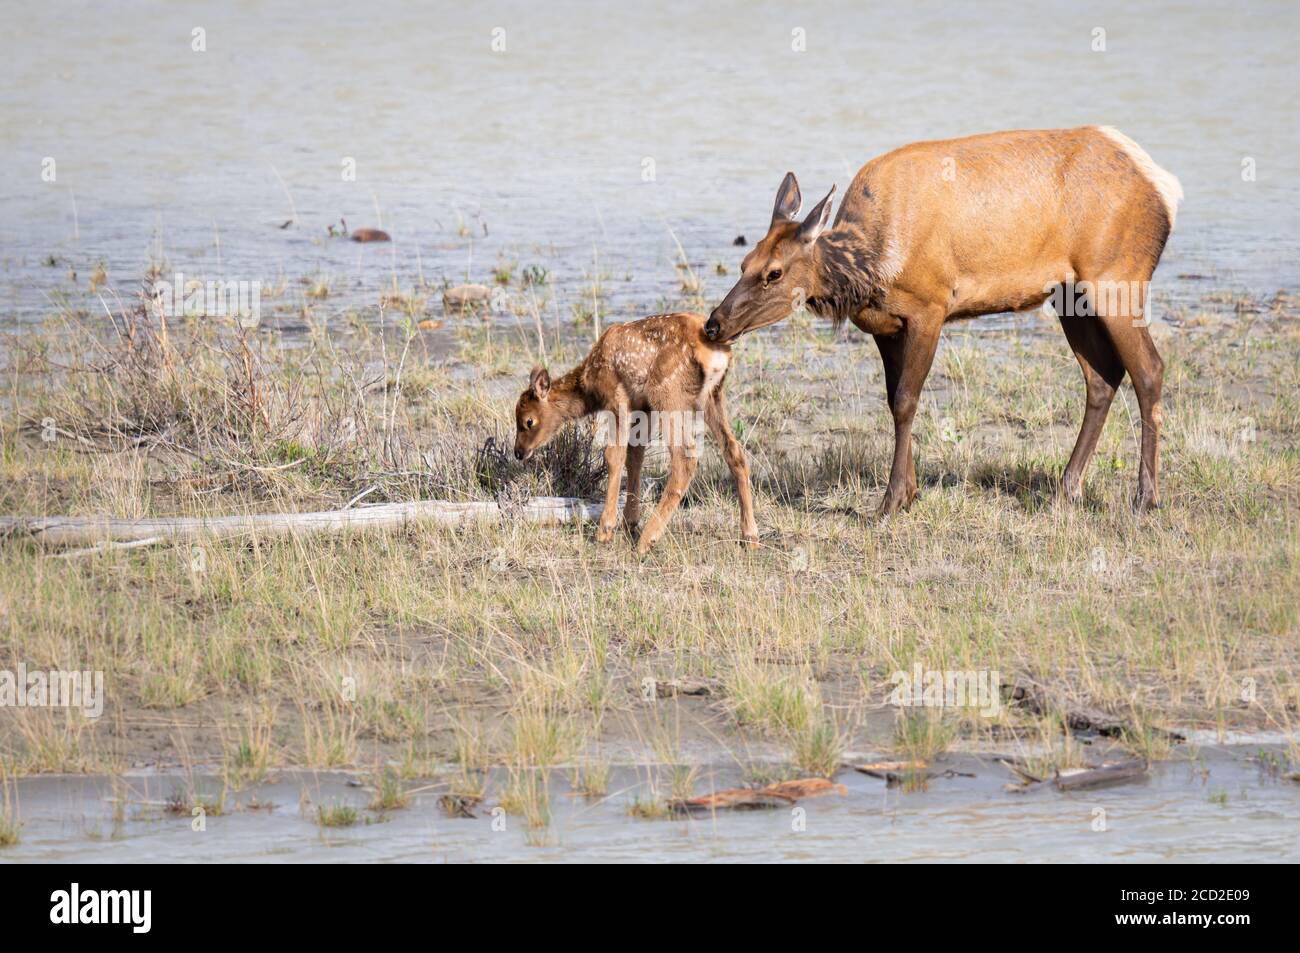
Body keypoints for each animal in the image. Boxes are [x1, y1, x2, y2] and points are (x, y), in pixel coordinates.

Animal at [513, 311, 758, 554]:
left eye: (528, 421)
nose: (518, 452)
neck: (590, 385)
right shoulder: (643, 406)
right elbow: (635, 455)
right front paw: (629, 521)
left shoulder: (618, 396)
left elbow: (614, 456)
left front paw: (606, 530)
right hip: (711, 396)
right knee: (734, 450)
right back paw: (750, 536)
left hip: (667, 391)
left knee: (685, 457)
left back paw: (647, 541)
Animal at [705, 126, 1182, 518]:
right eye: (744, 263)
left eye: (774, 273)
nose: (714, 324)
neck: (870, 266)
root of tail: (1165, 187)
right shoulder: (887, 325)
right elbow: (893, 400)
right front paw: (909, 493)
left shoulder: (929, 306)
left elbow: (906, 400)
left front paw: (892, 501)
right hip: (1070, 294)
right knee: (1102, 377)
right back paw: (1066, 490)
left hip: (1118, 276)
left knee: (1149, 370)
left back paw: (1145, 499)